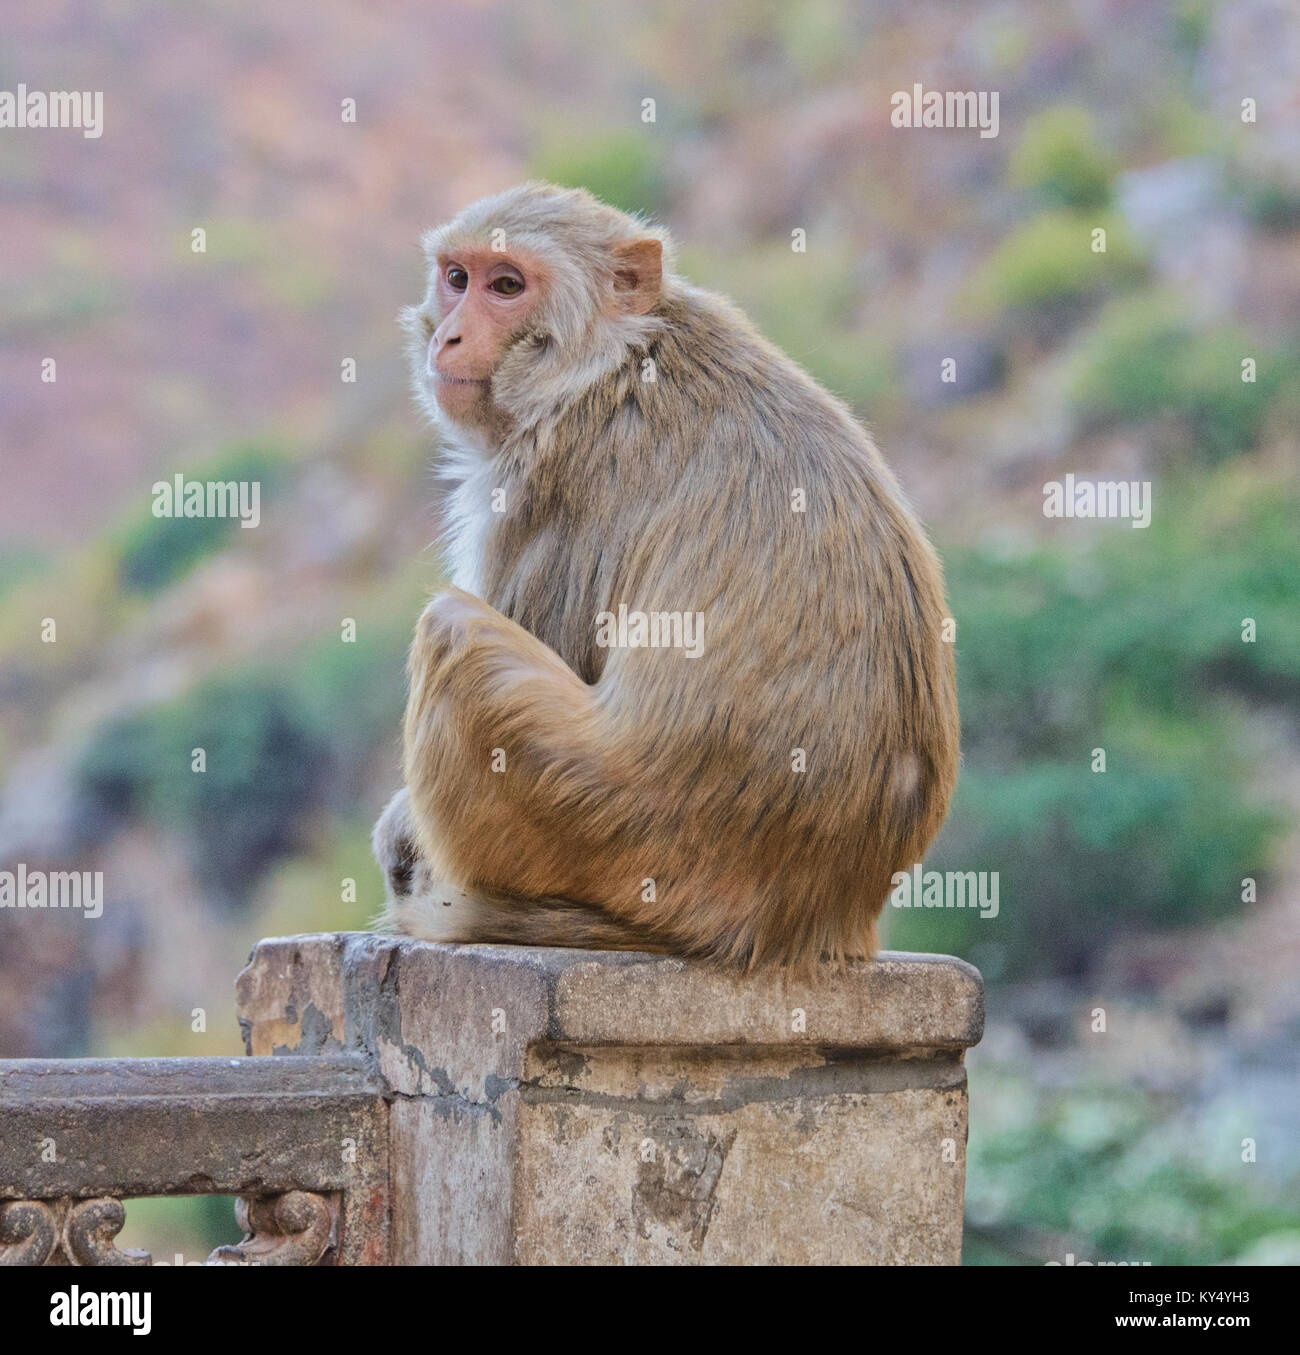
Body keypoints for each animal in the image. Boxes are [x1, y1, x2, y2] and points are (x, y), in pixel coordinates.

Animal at [372, 181, 959, 970]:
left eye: (507, 286)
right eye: (457, 277)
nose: (449, 338)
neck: (611, 354)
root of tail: (807, 919)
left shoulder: (544, 479)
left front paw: (400, 834)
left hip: (596, 816)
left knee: (454, 628)